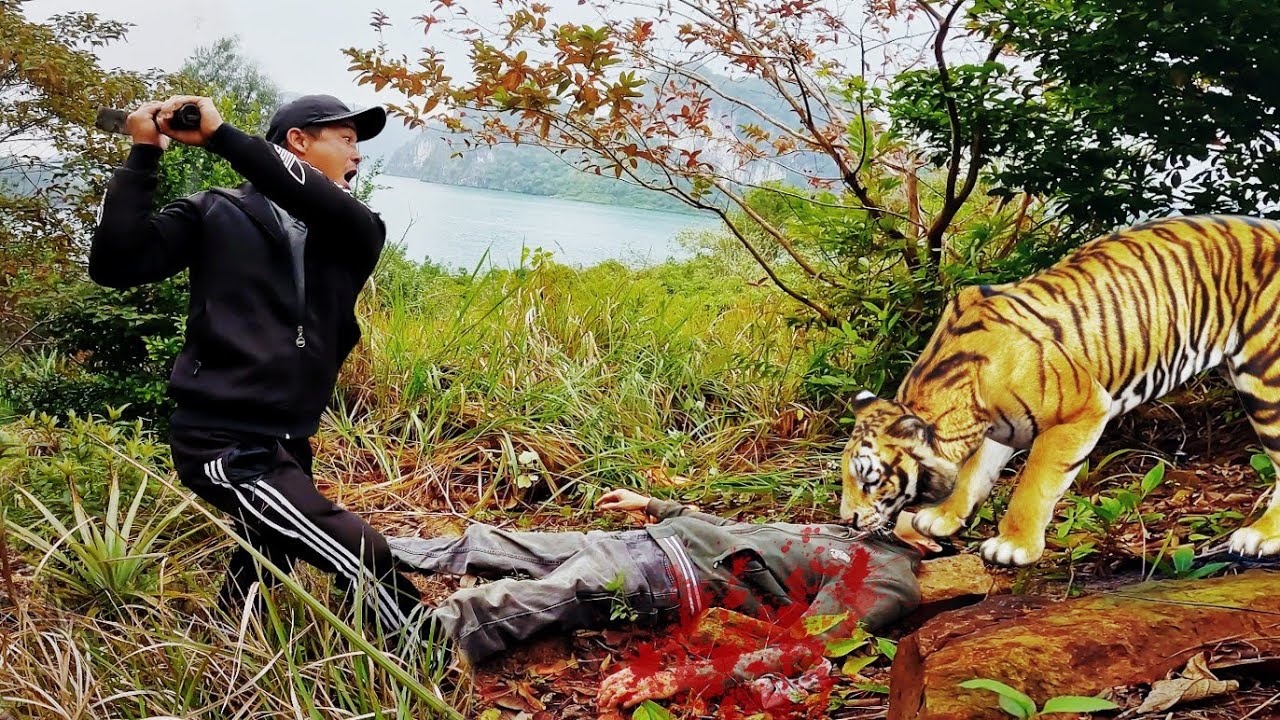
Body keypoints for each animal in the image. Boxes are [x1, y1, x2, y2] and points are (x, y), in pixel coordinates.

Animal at [840, 214, 1280, 566]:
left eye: (869, 479)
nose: (847, 519)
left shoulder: (1083, 408)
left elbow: (1034, 483)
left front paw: (1013, 545)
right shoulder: (997, 427)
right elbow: (974, 471)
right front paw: (944, 516)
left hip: (1265, 378)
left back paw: (1259, 537)